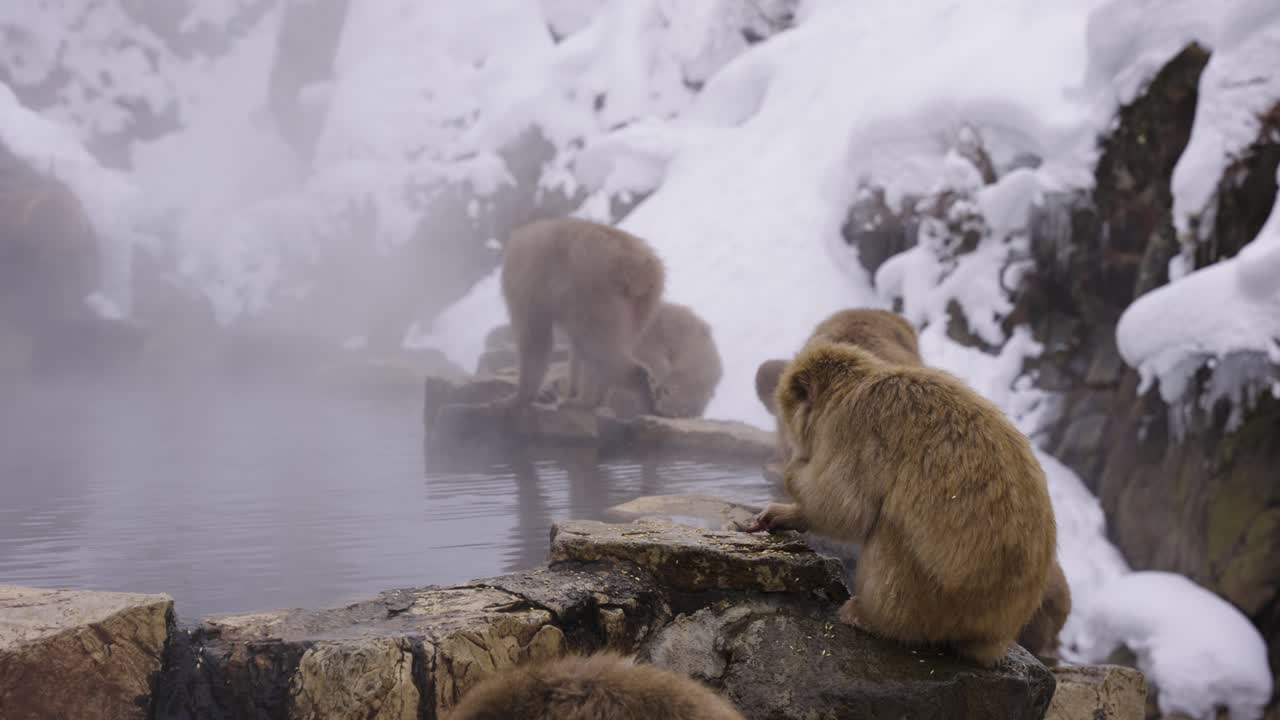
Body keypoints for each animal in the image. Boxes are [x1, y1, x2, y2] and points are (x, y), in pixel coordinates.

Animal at [500, 217, 664, 412]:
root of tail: (635, 266)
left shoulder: (523, 281)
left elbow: (535, 337)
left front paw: (520, 397)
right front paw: (569, 390)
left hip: (594, 291)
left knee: (597, 346)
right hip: (642, 303)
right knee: (597, 344)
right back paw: (592, 399)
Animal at [745, 341, 1056, 667]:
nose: (792, 441)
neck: (850, 388)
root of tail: (995, 634)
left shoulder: (853, 424)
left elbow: (845, 508)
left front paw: (793, 473)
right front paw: (785, 514)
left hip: (933, 603)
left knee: (888, 528)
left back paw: (873, 619)